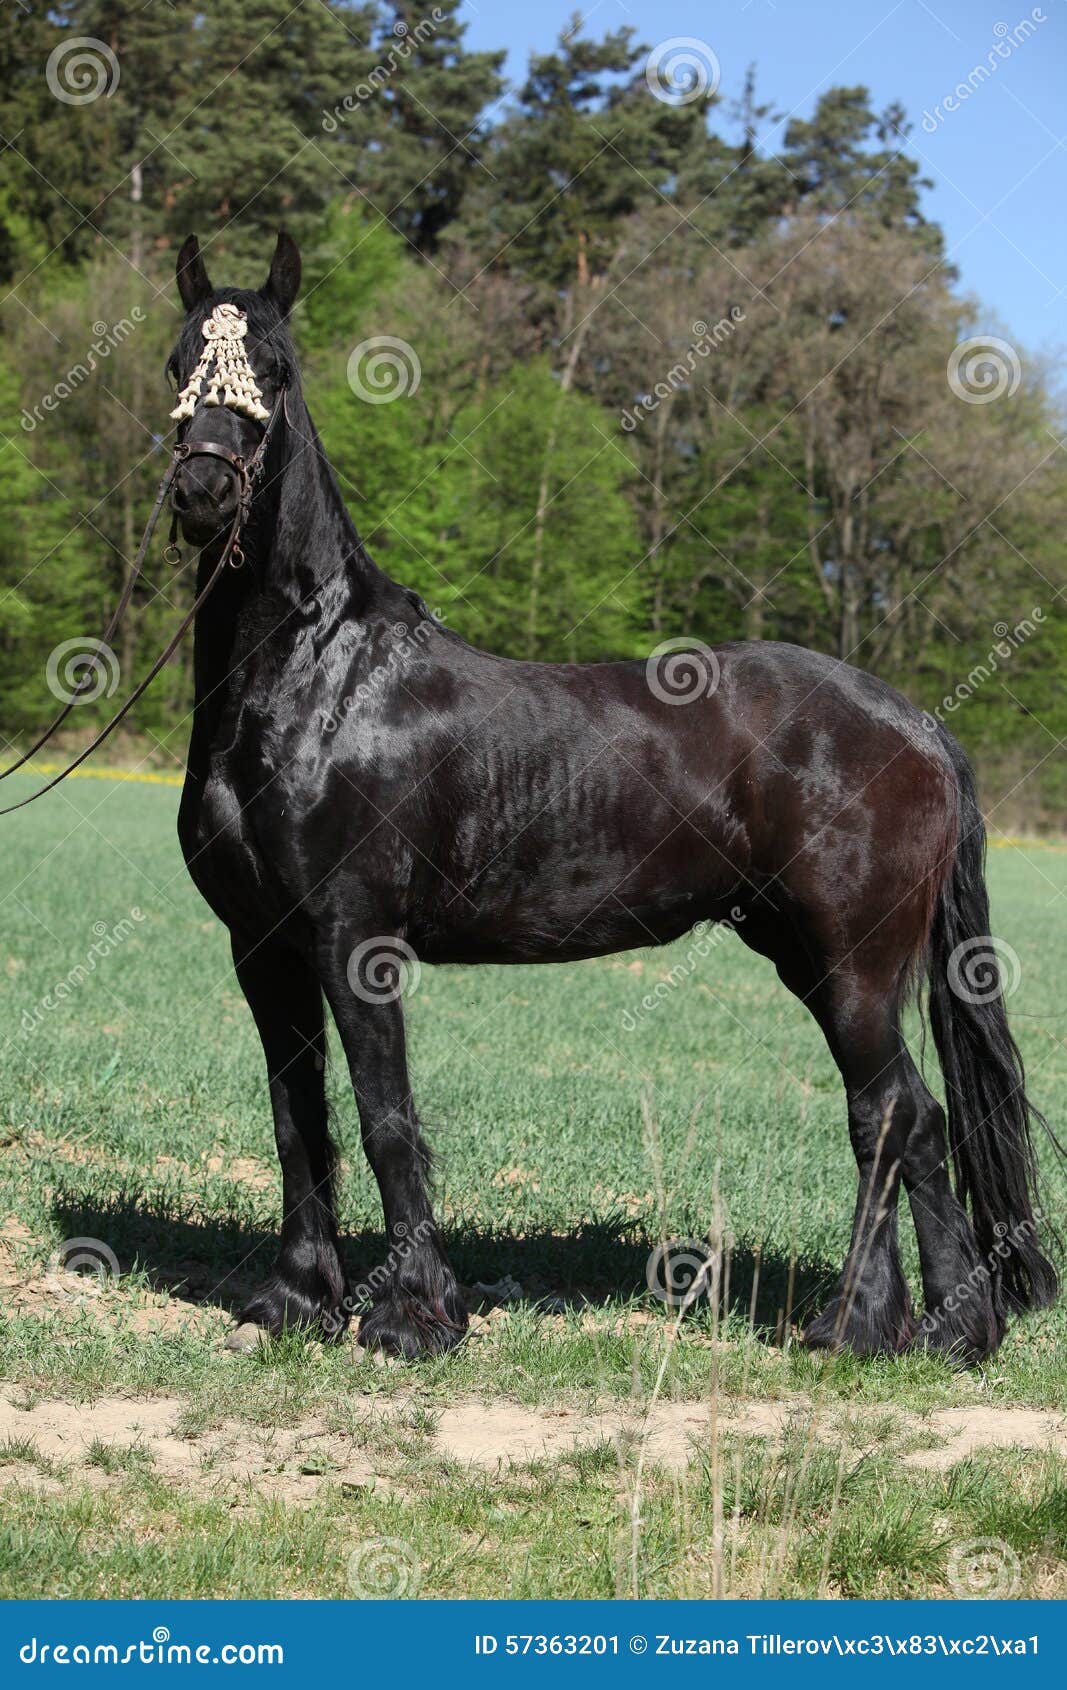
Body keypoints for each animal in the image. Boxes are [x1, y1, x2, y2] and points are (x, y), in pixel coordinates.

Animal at [151, 229, 1056, 1363]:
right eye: (175, 360)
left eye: (273, 370)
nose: (201, 491)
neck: (323, 680)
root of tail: (916, 722)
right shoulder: (262, 947)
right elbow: (296, 1118)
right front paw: (295, 1301)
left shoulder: (356, 941)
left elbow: (385, 1118)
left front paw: (412, 1316)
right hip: (809, 955)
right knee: (913, 1124)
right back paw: (938, 1328)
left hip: (851, 965)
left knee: (888, 1115)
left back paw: (855, 1325)